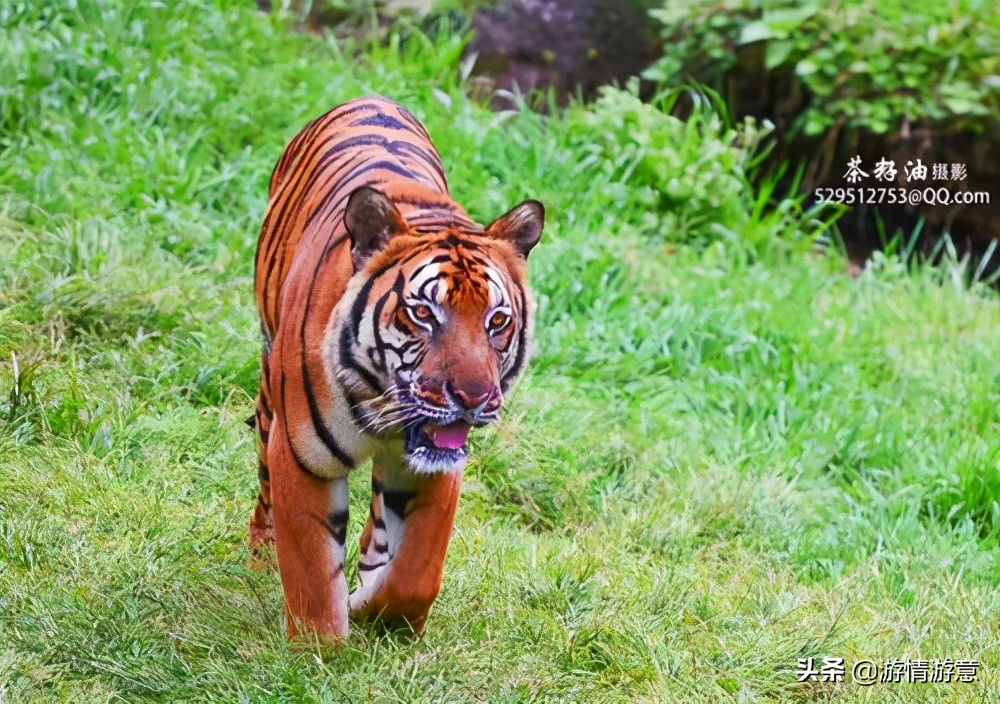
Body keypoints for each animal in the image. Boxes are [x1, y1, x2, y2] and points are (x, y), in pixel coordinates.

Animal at [248, 96, 544, 640]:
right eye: (424, 313)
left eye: (497, 321)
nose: (472, 399)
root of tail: (373, 99)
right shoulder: (301, 459)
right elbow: (311, 573)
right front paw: (318, 646)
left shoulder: (435, 470)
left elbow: (417, 573)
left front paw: (375, 610)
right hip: (267, 398)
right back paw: (260, 554)